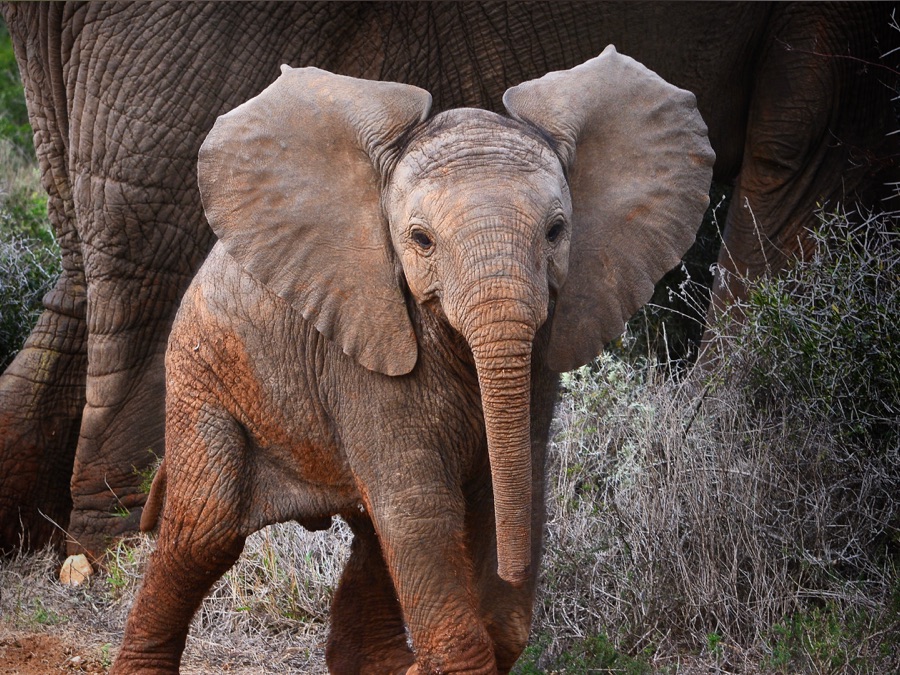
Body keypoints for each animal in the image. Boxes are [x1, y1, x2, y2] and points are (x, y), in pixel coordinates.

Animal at [0, 2, 895, 559]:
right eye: (419, 239)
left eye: (559, 232)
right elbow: (811, 162)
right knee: (149, 261)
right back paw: (118, 561)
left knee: (84, 274)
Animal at [110, 50, 714, 674]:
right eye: (420, 240)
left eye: (556, 231)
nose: (514, 571)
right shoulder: (362, 346)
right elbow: (420, 509)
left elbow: (505, 488)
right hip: (202, 371)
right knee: (205, 530)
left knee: (368, 533)